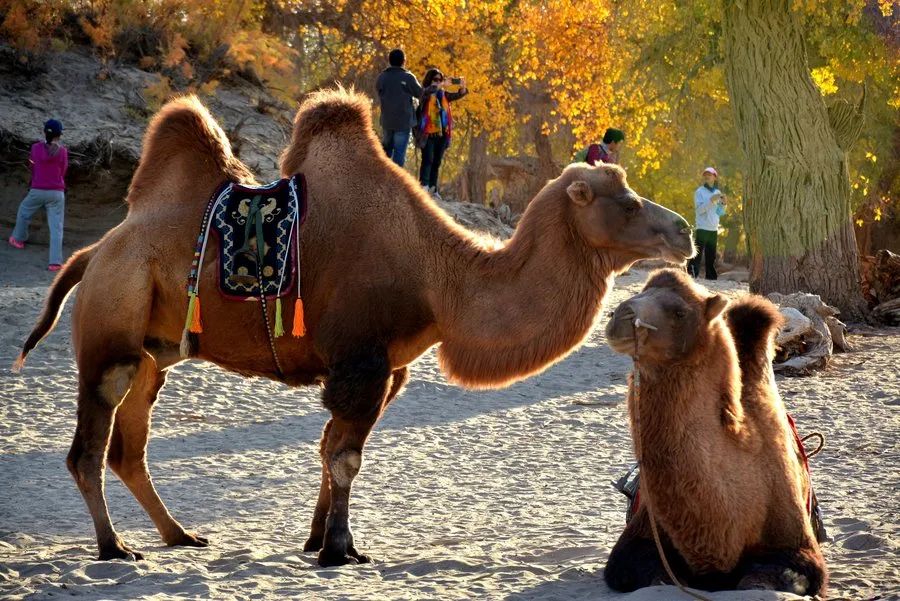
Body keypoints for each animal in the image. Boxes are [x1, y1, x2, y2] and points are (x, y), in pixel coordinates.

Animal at [14, 89, 694, 567]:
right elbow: (345, 457)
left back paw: (179, 536)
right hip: (113, 327)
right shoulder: (361, 361)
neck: (439, 281)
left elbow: (328, 449)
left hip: (156, 351)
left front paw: (316, 540)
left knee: (130, 443)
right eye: (627, 202)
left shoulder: (387, 368)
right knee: (90, 442)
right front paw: (341, 550)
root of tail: (94, 251)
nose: (684, 231)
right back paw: (113, 547)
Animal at [603, 269, 828, 596]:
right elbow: (640, 573)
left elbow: (766, 580)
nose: (620, 315)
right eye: (642, 291)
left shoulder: (797, 544)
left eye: (680, 312)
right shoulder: (641, 534)